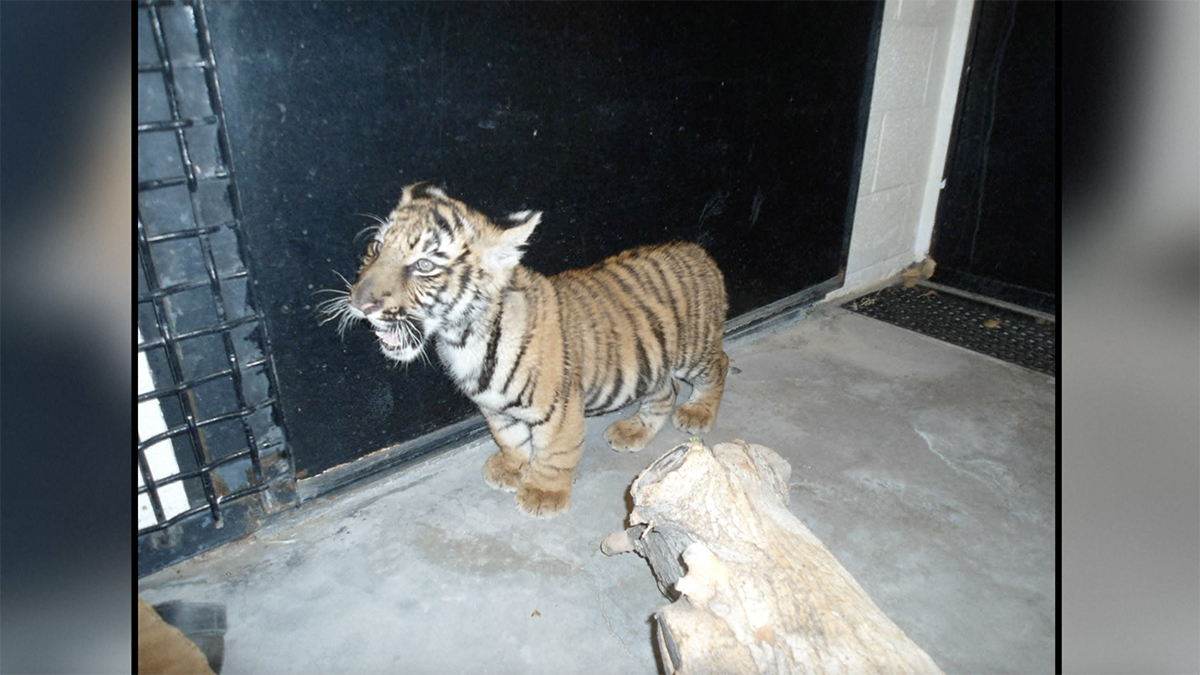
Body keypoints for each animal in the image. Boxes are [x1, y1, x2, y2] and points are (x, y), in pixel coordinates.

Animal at [319, 182, 728, 517]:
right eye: (375, 248)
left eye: (423, 265)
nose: (360, 303)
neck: (461, 339)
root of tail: (699, 251)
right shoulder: (493, 407)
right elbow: (511, 439)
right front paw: (511, 468)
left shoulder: (560, 408)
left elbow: (555, 452)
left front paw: (542, 495)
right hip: (653, 363)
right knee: (665, 390)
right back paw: (634, 431)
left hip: (693, 351)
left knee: (718, 364)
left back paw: (697, 412)